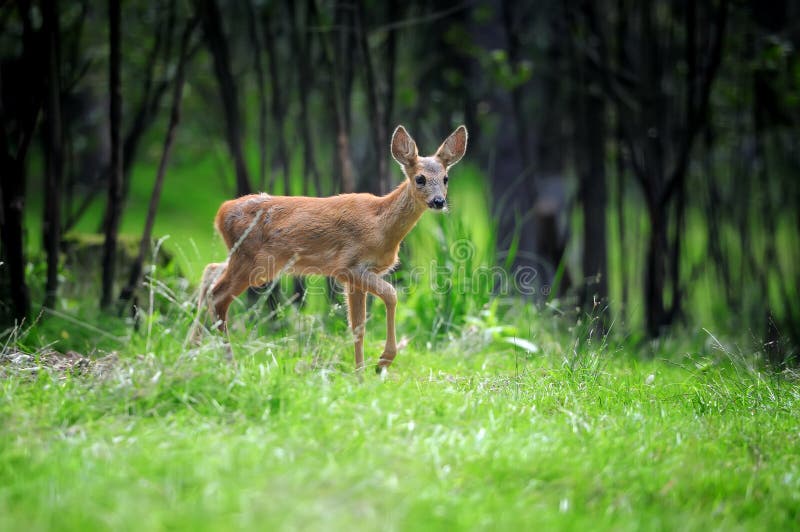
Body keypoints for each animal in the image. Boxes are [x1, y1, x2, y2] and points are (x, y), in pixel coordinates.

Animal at [196, 125, 468, 372]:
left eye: (445, 178)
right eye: (420, 178)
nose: (438, 201)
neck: (380, 225)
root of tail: (221, 213)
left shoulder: (359, 275)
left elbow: (358, 327)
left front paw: (360, 376)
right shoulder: (347, 266)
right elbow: (390, 294)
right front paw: (382, 362)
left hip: (249, 260)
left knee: (210, 272)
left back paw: (195, 349)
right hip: (254, 262)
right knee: (218, 295)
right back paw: (229, 365)